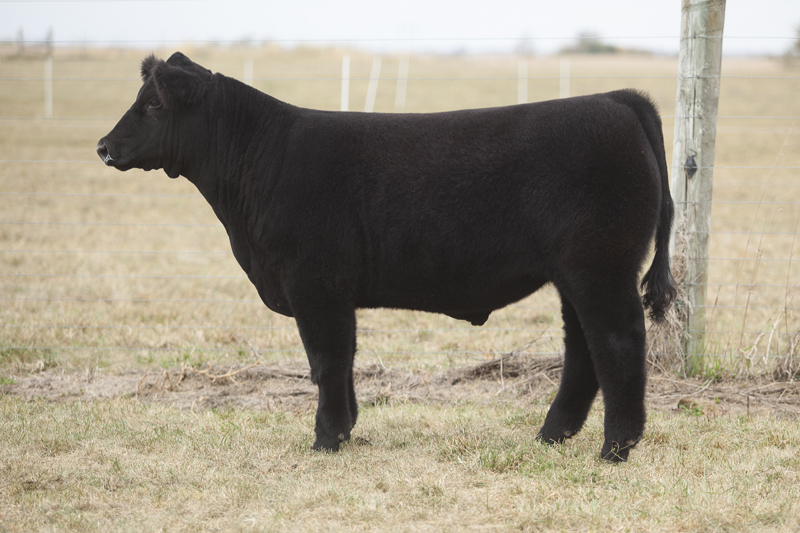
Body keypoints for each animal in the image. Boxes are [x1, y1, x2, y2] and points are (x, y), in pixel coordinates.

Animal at [97, 52, 676, 462]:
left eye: (153, 105)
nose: (103, 146)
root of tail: (616, 99)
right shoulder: (330, 291)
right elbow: (342, 360)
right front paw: (346, 431)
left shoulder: (316, 283)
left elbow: (326, 359)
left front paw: (326, 440)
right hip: (574, 274)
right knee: (583, 350)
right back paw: (552, 435)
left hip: (599, 268)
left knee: (616, 343)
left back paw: (615, 448)